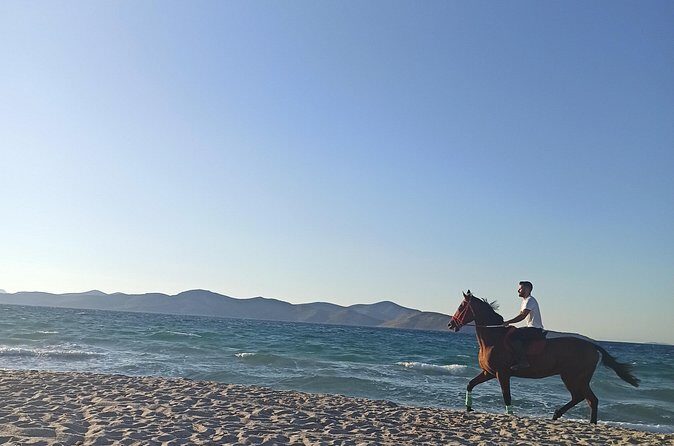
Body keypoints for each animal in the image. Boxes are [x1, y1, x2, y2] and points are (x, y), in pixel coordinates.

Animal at [447, 290, 639, 423]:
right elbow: (470, 384)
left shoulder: (502, 374)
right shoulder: (489, 373)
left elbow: (506, 396)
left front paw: (510, 415)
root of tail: (592, 345)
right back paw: (559, 415)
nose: (450, 325)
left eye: (461, 307)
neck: (494, 339)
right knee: (583, 398)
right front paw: (468, 407)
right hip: (573, 378)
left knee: (589, 399)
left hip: (574, 377)